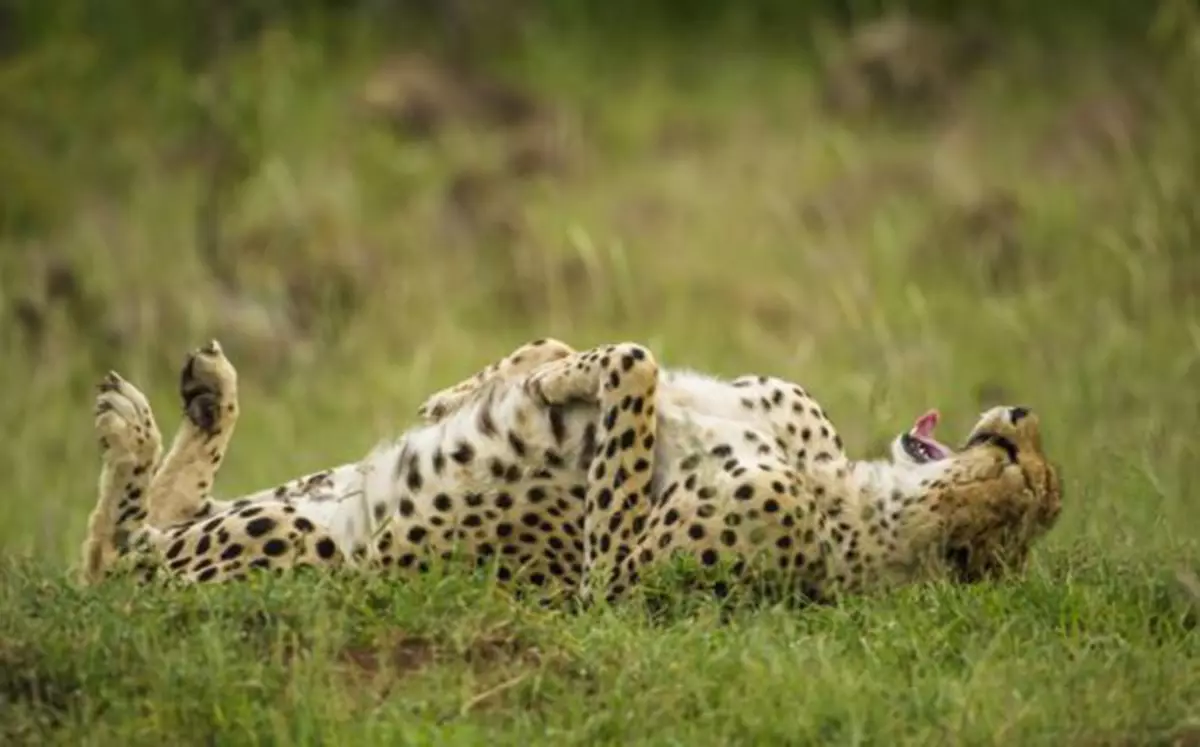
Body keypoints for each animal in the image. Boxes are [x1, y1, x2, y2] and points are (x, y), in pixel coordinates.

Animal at [82, 336, 1060, 605]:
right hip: (297, 494)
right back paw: (203, 397)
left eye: (1030, 481)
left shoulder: (612, 582)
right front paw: (474, 392)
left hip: (308, 548)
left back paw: (133, 430)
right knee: (146, 528)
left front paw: (557, 386)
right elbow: (569, 349)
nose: (1021, 412)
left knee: (118, 562)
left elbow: (635, 361)